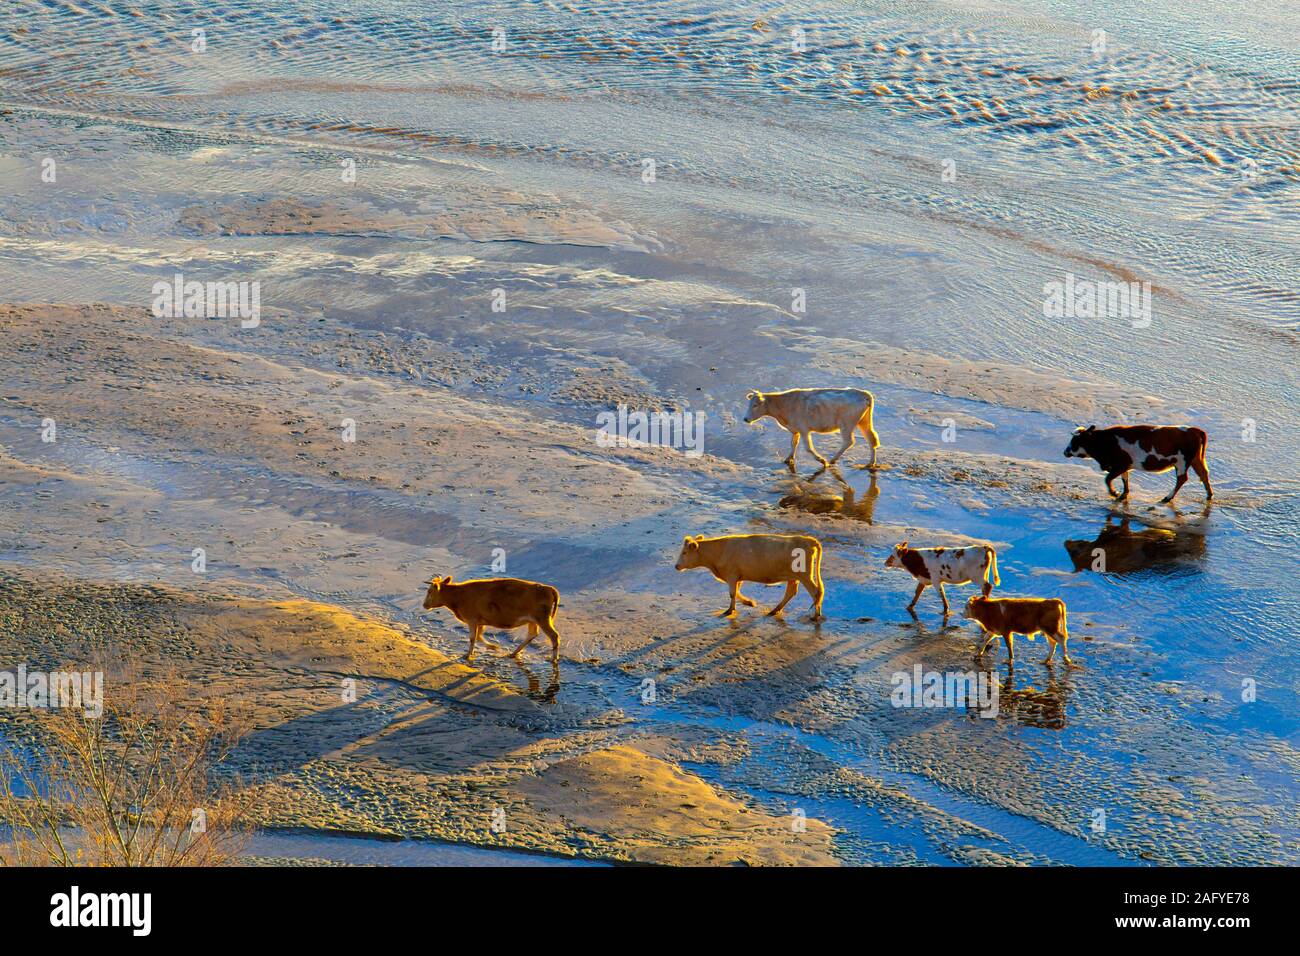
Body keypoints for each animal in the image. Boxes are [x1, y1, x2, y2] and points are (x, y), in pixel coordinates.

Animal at [421, 575, 561, 663]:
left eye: (429, 591)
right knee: (532, 634)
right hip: (533, 620)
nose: (424, 605)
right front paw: (493, 647)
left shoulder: (472, 620)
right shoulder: (480, 621)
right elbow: (478, 636)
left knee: (554, 636)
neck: (458, 595)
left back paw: (553, 658)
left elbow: (473, 637)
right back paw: (513, 653)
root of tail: (548, 588)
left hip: (542, 619)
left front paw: (468, 654)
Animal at [674, 533, 824, 620]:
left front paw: (730, 610)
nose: (676, 566)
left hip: (805, 576)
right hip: (793, 577)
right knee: (791, 592)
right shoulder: (737, 576)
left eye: (685, 552)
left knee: (815, 592)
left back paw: (816, 615)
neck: (720, 550)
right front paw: (749, 602)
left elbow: (732, 593)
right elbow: (736, 592)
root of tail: (808, 540)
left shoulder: (732, 575)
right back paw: (774, 611)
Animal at [743, 387, 880, 471]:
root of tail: (863, 393)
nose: (745, 419)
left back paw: (832, 460)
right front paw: (788, 459)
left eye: (755, 405)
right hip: (864, 422)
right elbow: (793, 444)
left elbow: (808, 448)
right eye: (749, 404)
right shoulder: (796, 429)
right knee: (871, 439)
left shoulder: (804, 429)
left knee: (849, 442)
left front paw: (822, 461)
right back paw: (870, 463)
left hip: (846, 424)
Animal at [1063, 424, 1212, 504]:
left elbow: (1108, 479)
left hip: (1182, 461)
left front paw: (1114, 493)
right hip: (1195, 459)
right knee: (1203, 473)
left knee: (1182, 478)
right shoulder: (1124, 466)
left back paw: (1167, 498)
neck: (1105, 441)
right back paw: (1209, 495)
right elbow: (1125, 479)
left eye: (1075, 441)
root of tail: (1194, 429)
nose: (1065, 452)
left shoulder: (1120, 465)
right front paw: (1123, 494)